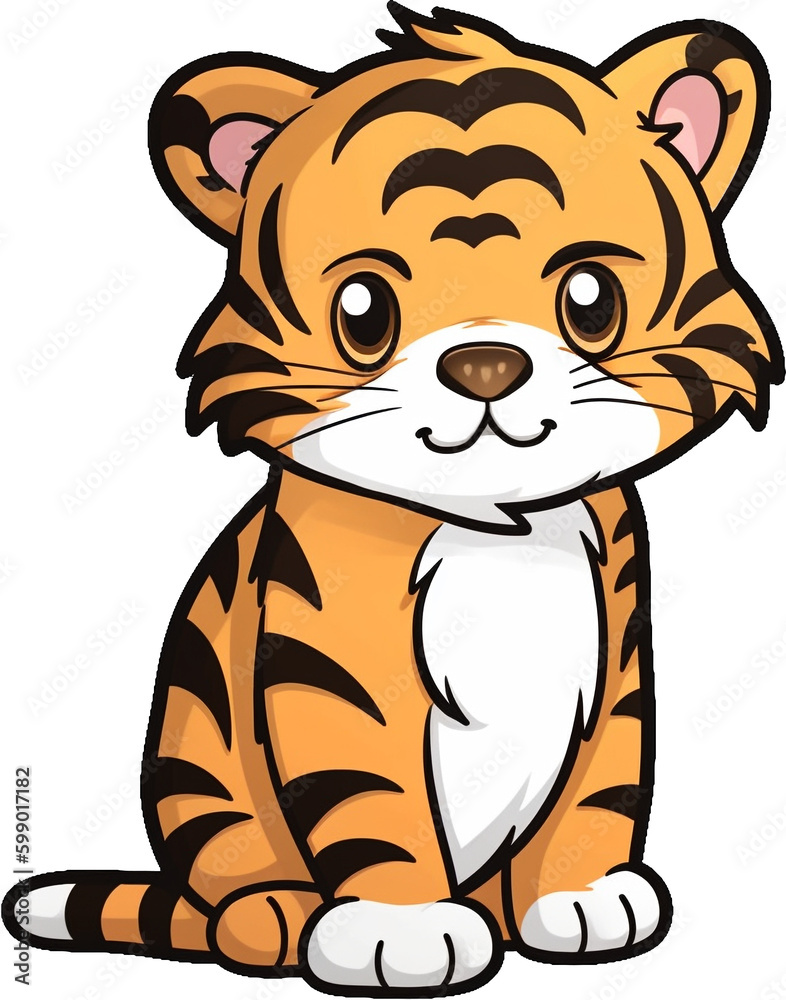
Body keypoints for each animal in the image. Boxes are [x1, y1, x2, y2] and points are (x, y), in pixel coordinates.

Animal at [3, 5, 781, 995]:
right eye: (363, 311)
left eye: (590, 298)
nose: (485, 364)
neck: (503, 527)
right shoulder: (340, 663)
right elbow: (373, 797)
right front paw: (401, 932)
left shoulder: (617, 647)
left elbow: (605, 778)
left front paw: (584, 898)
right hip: (200, 784)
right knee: (231, 902)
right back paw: (281, 916)